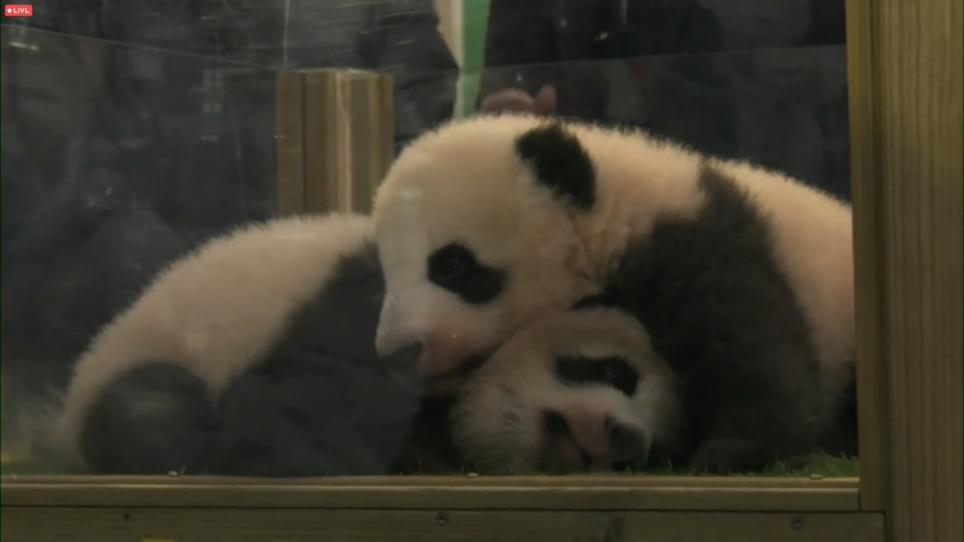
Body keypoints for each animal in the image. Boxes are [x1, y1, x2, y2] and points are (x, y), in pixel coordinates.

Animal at [370, 114, 856, 472]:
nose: (398, 353)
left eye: (451, 265)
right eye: (386, 276)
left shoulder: (696, 248)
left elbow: (749, 351)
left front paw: (732, 451)